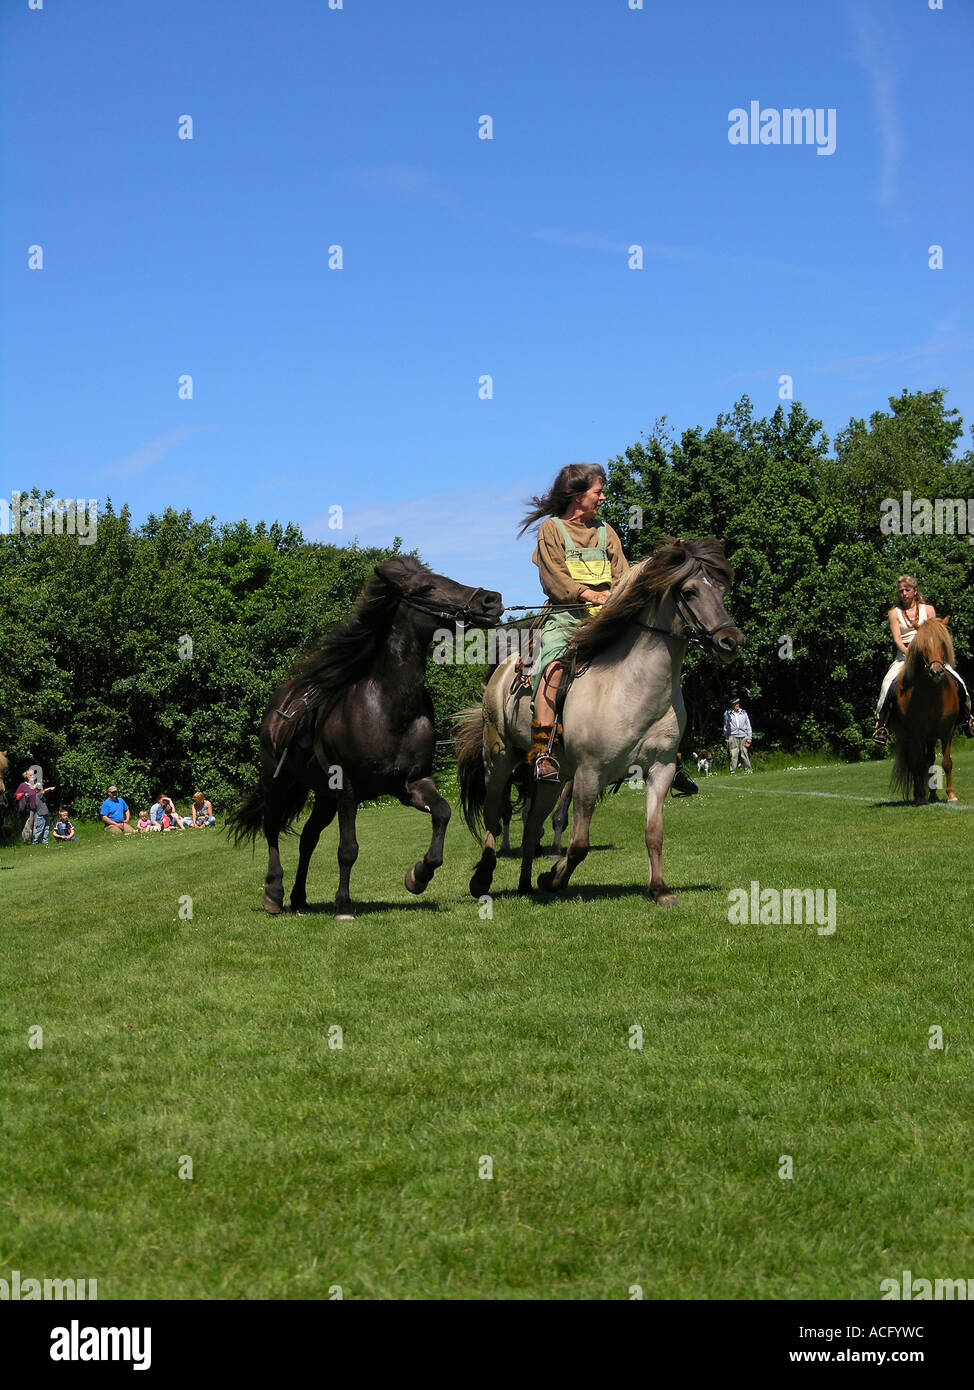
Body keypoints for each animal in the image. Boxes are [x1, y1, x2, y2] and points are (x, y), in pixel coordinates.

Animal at [228, 557, 503, 918]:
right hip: (278, 782)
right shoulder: (347, 788)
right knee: (272, 827)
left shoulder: (411, 784)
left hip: (323, 797)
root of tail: (279, 705)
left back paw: (299, 897)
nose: (491, 600)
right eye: (426, 587)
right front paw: (343, 905)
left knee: (308, 838)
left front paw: (418, 875)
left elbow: (442, 813)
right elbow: (348, 849)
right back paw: (274, 893)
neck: (387, 707)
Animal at [456, 537, 744, 903]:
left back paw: (524, 884)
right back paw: (483, 879)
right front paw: (552, 879)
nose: (731, 640)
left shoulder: (660, 769)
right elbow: (579, 844)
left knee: (532, 825)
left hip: (550, 777)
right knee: (494, 815)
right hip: (499, 761)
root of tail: (503, 670)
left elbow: (654, 833)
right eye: (690, 592)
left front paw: (660, 889)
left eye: (722, 589)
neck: (633, 688)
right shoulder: (589, 774)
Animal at [890, 616, 960, 803]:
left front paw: (951, 795)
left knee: (929, 760)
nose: (936, 672)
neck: (933, 695)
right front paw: (921, 796)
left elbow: (947, 762)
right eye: (923, 646)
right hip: (911, 736)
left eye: (942, 642)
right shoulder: (916, 733)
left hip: (931, 736)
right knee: (916, 763)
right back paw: (919, 794)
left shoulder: (948, 730)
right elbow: (919, 764)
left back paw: (933, 794)